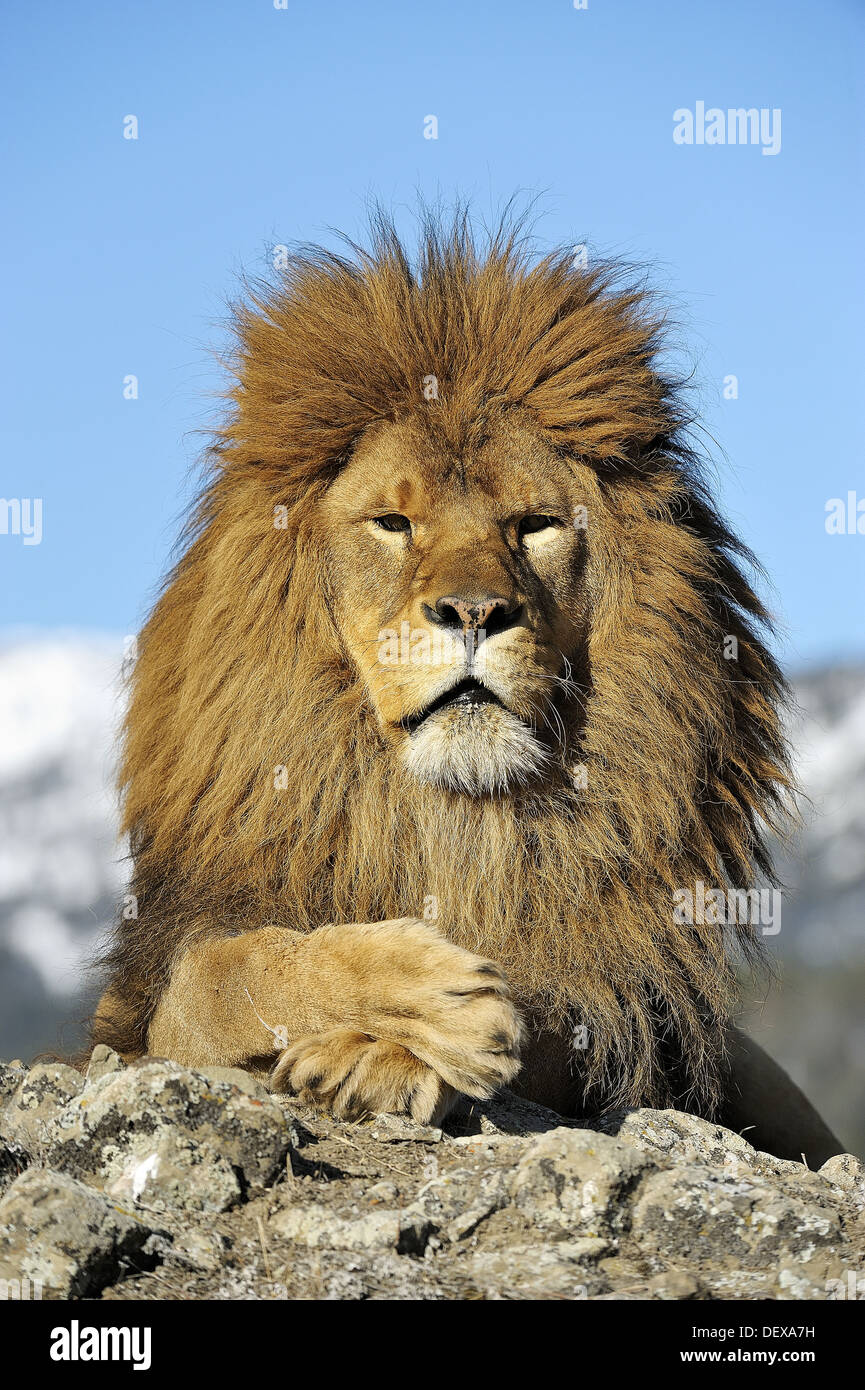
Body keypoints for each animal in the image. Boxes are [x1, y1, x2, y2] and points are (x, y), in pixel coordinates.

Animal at [92, 210, 842, 1165]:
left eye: (534, 525)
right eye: (392, 522)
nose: (475, 609)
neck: (444, 817)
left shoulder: (617, 995)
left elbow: (558, 1007)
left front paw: (390, 1051)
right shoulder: (156, 997)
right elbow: (228, 973)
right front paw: (424, 995)